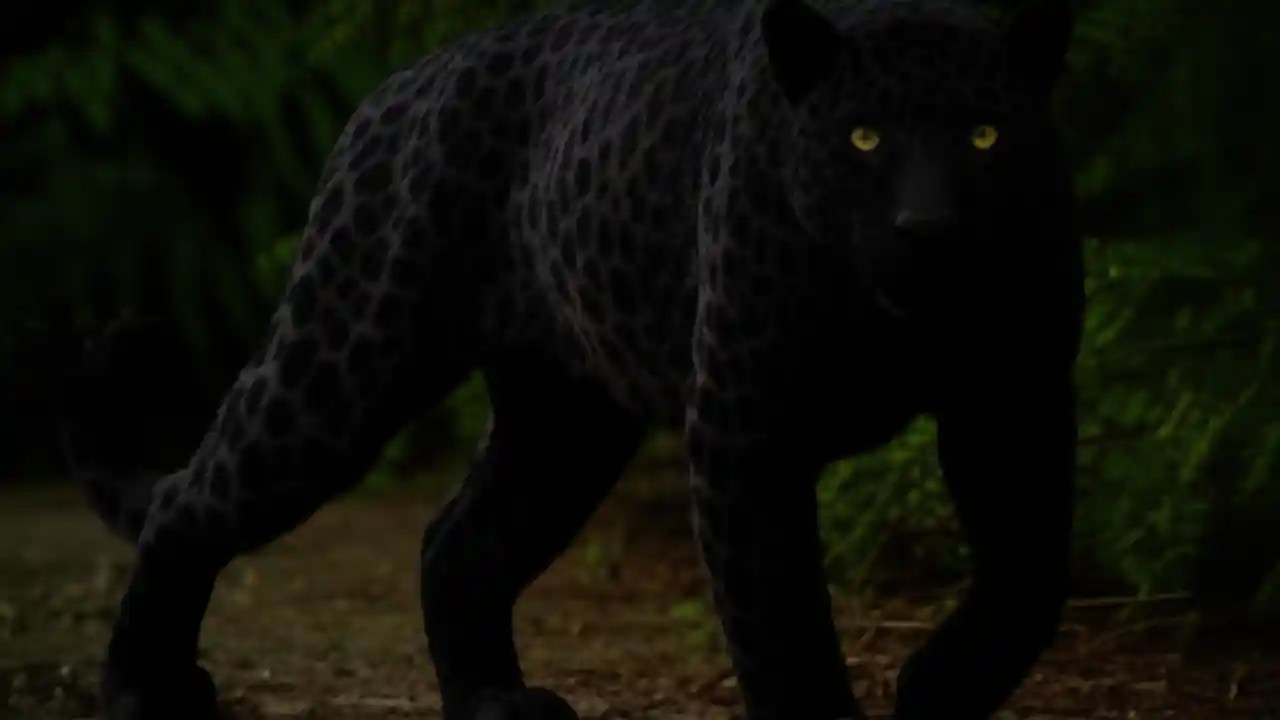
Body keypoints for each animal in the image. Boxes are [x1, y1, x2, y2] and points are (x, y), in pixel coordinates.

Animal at [67, 0, 1084, 718]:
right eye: (863, 136)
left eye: (986, 134)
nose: (928, 226)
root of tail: (393, 86)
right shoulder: (745, 427)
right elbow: (781, 618)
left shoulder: (1018, 407)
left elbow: (1031, 579)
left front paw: (936, 687)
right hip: (343, 366)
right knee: (187, 502)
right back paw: (141, 691)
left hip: (564, 430)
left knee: (454, 542)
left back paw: (495, 704)